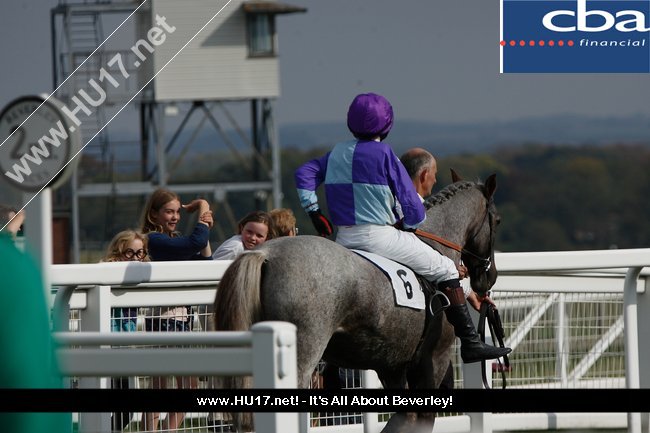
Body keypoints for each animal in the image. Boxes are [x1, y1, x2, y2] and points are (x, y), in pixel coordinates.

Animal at [214, 170, 499, 433]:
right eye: (496, 219)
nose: (489, 277)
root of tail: (264, 254)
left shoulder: (391, 365)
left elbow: (402, 419)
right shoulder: (433, 359)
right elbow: (420, 419)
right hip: (303, 356)